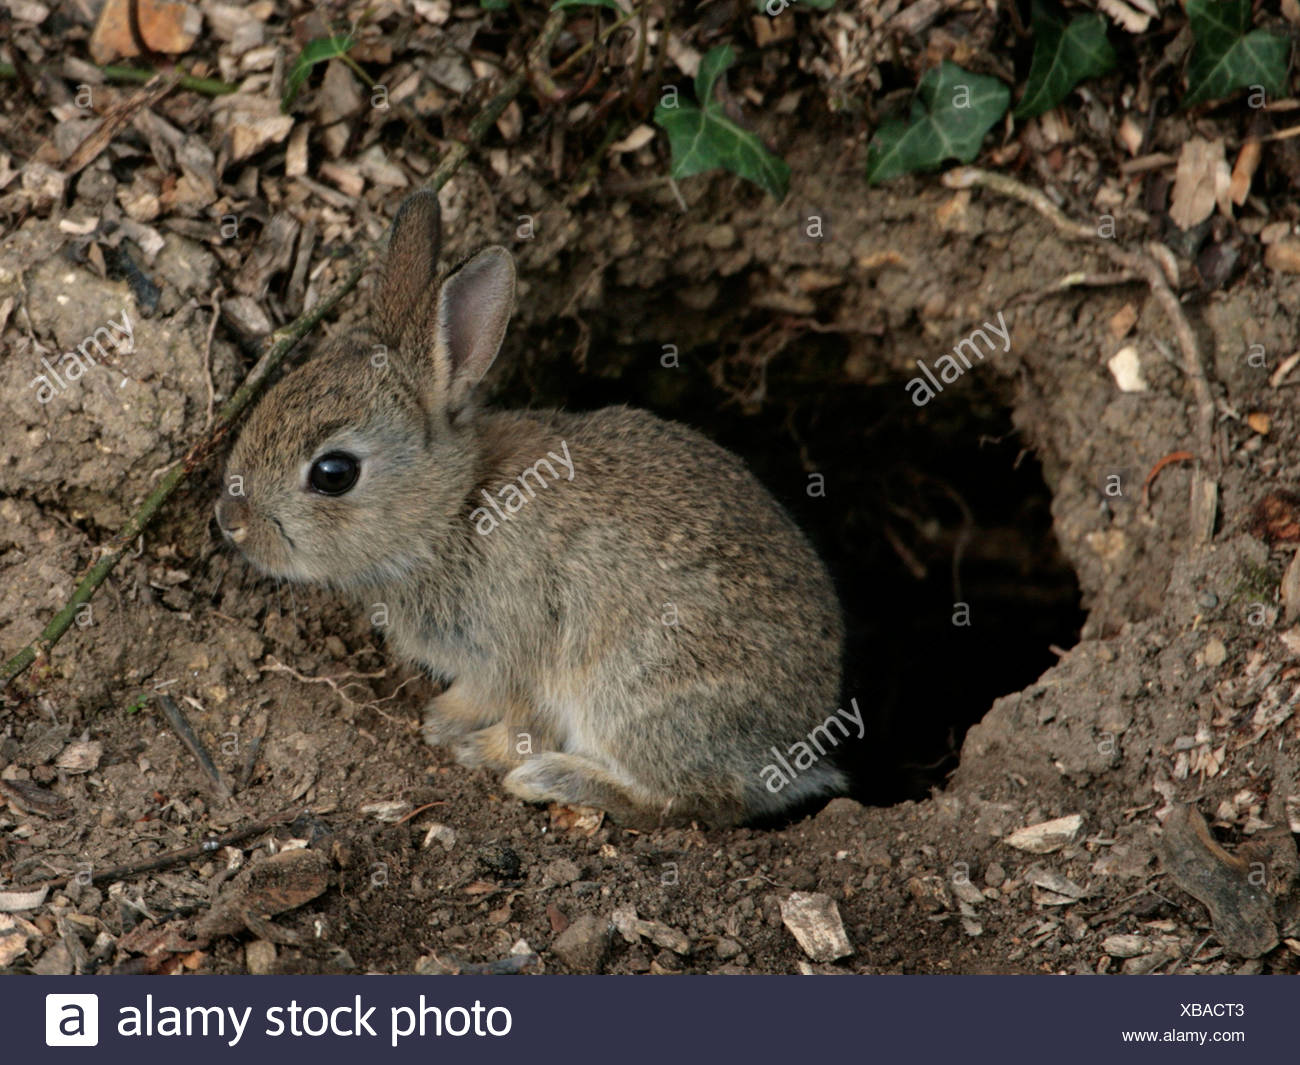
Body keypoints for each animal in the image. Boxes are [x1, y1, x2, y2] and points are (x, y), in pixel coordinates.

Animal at [215, 189, 847, 827]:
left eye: (333, 473)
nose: (230, 521)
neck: (454, 507)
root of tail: (791, 752)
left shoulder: (519, 654)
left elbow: (523, 721)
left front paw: (466, 742)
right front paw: (445, 718)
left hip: (635, 691)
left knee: (693, 801)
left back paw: (554, 780)